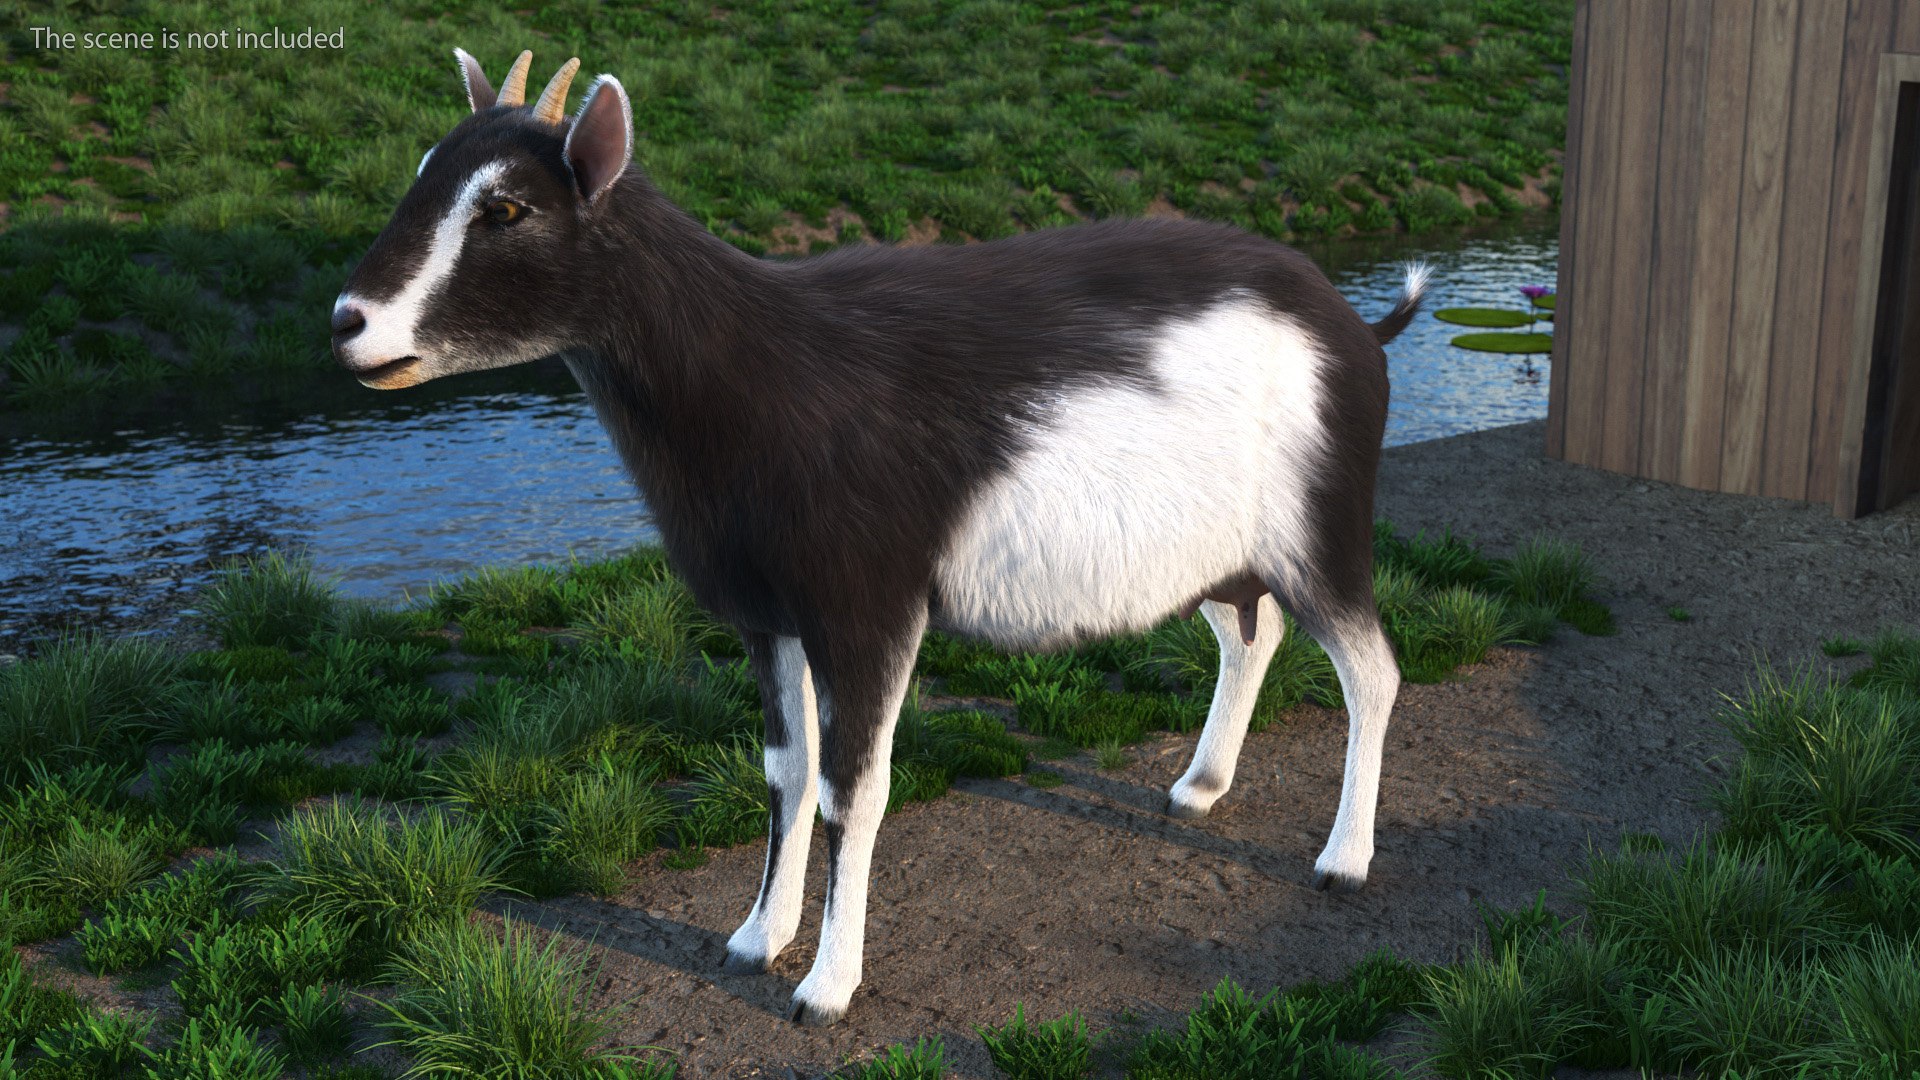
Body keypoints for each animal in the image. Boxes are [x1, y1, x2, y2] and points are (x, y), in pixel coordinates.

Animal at [331, 49, 1426, 1026]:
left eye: (507, 208)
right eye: (426, 168)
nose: (349, 321)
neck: (768, 376)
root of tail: (1358, 325)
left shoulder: (869, 611)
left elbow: (851, 791)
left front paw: (826, 988)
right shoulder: (766, 617)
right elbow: (783, 772)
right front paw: (753, 940)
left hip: (1324, 532)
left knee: (1373, 670)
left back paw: (1343, 860)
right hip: (1228, 554)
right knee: (1251, 634)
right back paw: (1198, 788)